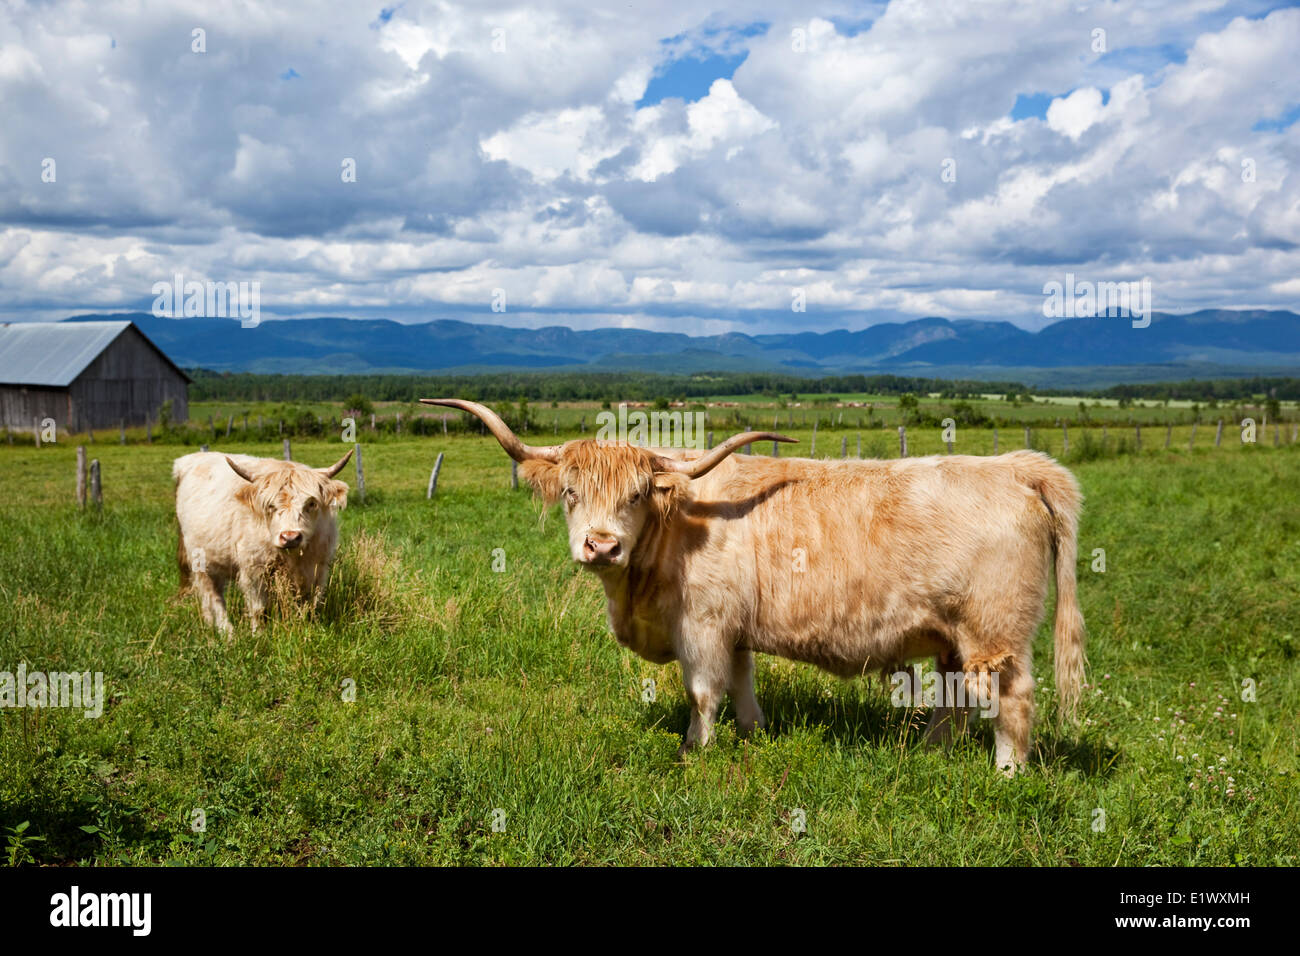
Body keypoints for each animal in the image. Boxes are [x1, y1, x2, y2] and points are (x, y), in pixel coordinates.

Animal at [173, 450, 353, 634]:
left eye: (311, 503)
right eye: (270, 506)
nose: (290, 537)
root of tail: (189, 459)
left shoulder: (318, 568)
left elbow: (310, 604)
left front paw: (306, 628)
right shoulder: (254, 570)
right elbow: (259, 609)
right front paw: (258, 634)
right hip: (200, 562)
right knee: (212, 596)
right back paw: (227, 633)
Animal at [421, 398, 1086, 775]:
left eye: (636, 495)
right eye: (569, 492)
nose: (602, 546)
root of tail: (1015, 467)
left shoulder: (703, 626)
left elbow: (702, 693)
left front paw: (695, 752)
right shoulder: (735, 631)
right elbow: (741, 685)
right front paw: (753, 735)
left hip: (995, 634)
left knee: (1014, 698)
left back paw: (1006, 774)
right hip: (953, 637)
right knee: (954, 698)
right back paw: (930, 754)